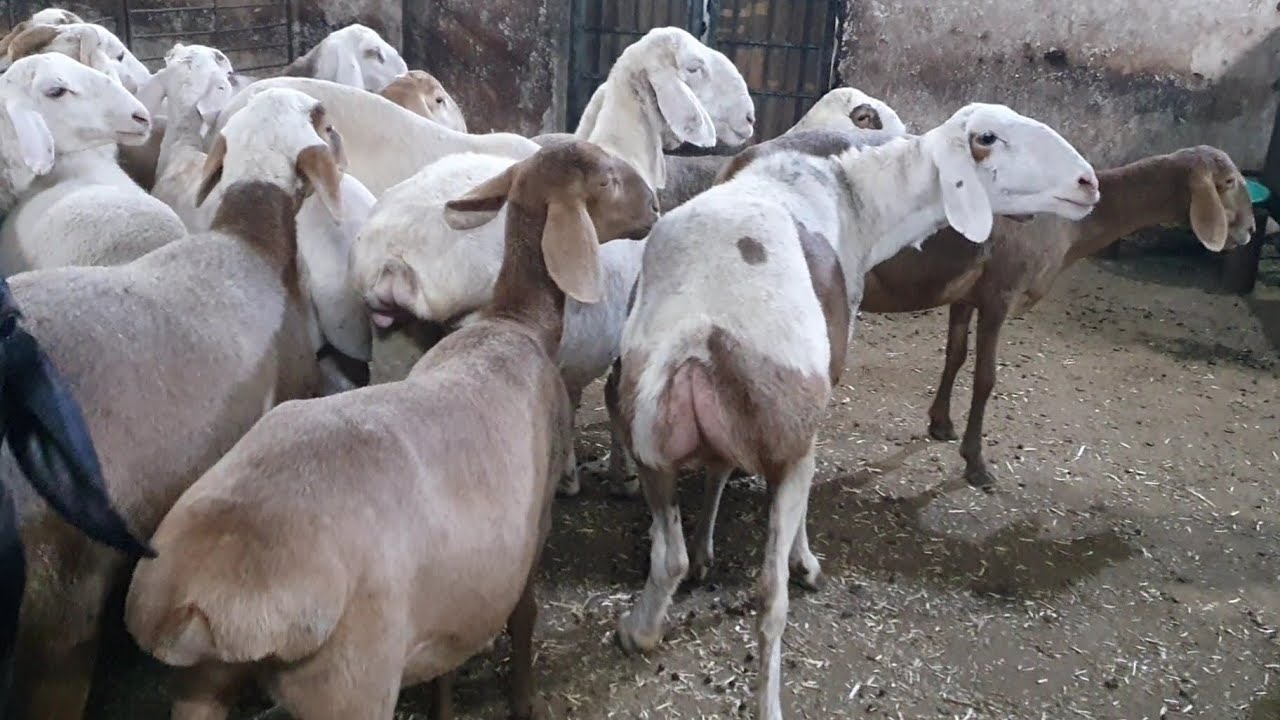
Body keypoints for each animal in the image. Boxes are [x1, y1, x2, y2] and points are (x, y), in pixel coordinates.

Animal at [124, 139, 659, 720]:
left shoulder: (451, 606)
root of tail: (197, 600)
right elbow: (524, 618)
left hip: (203, 687)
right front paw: (525, 701)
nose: (656, 203)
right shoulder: (532, 534)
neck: (514, 322)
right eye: (607, 179)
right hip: (351, 684)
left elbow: (446, 668)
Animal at [608, 104, 1099, 720]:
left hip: (649, 434)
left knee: (665, 556)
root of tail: (700, 327)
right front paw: (804, 561)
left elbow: (718, 471)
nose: (1089, 183)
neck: (863, 190)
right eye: (988, 137)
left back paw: (641, 627)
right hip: (788, 439)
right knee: (770, 596)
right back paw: (770, 687)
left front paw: (705, 549)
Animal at [857, 145, 1255, 487]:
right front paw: (976, 463)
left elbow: (955, 355)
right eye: (1228, 182)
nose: (1250, 230)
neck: (1070, 225)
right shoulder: (1000, 294)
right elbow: (985, 379)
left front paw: (941, 425)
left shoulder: (967, 293)